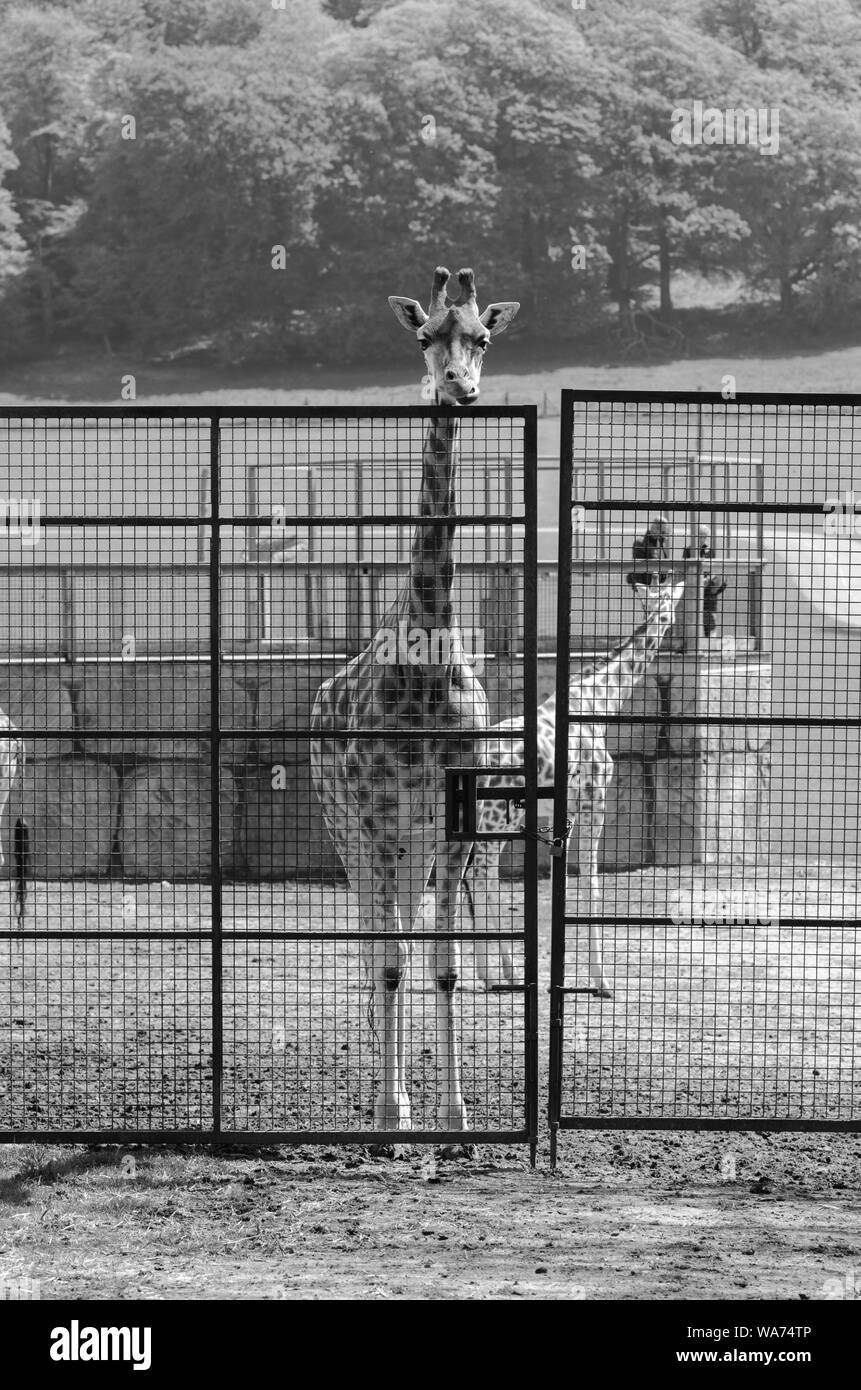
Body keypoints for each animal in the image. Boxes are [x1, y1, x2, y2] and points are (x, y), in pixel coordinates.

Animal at [465, 579, 685, 993]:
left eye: (669, 602)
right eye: (658, 601)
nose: (665, 621)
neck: (600, 703)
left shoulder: (560, 811)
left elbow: (559, 883)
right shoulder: (594, 801)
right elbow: (591, 884)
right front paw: (601, 979)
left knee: (467, 877)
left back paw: (495, 971)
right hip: (495, 816)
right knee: (480, 876)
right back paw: (489, 974)